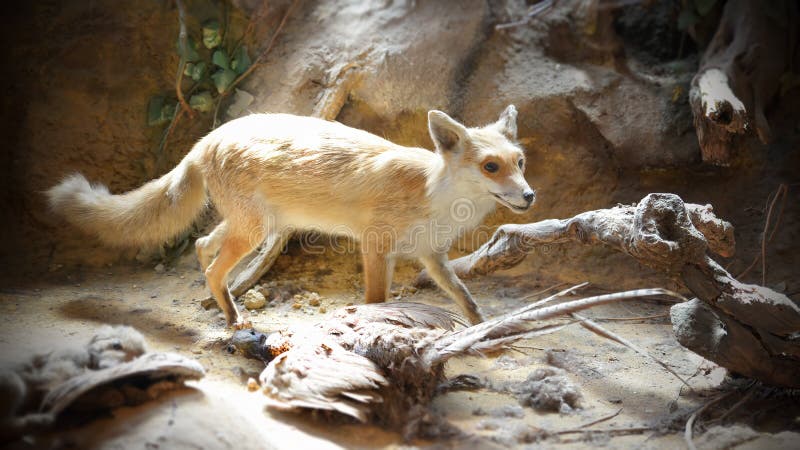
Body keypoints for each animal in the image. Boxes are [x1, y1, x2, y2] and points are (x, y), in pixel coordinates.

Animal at [47, 106, 535, 327]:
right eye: (491, 167)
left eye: (520, 162)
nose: (530, 197)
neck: (434, 195)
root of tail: (208, 137)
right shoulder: (376, 246)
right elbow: (377, 300)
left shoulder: (432, 256)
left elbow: (467, 300)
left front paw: (483, 332)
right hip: (254, 230)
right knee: (214, 267)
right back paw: (232, 318)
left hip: (251, 225)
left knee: (203, 247)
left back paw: (218, 302)